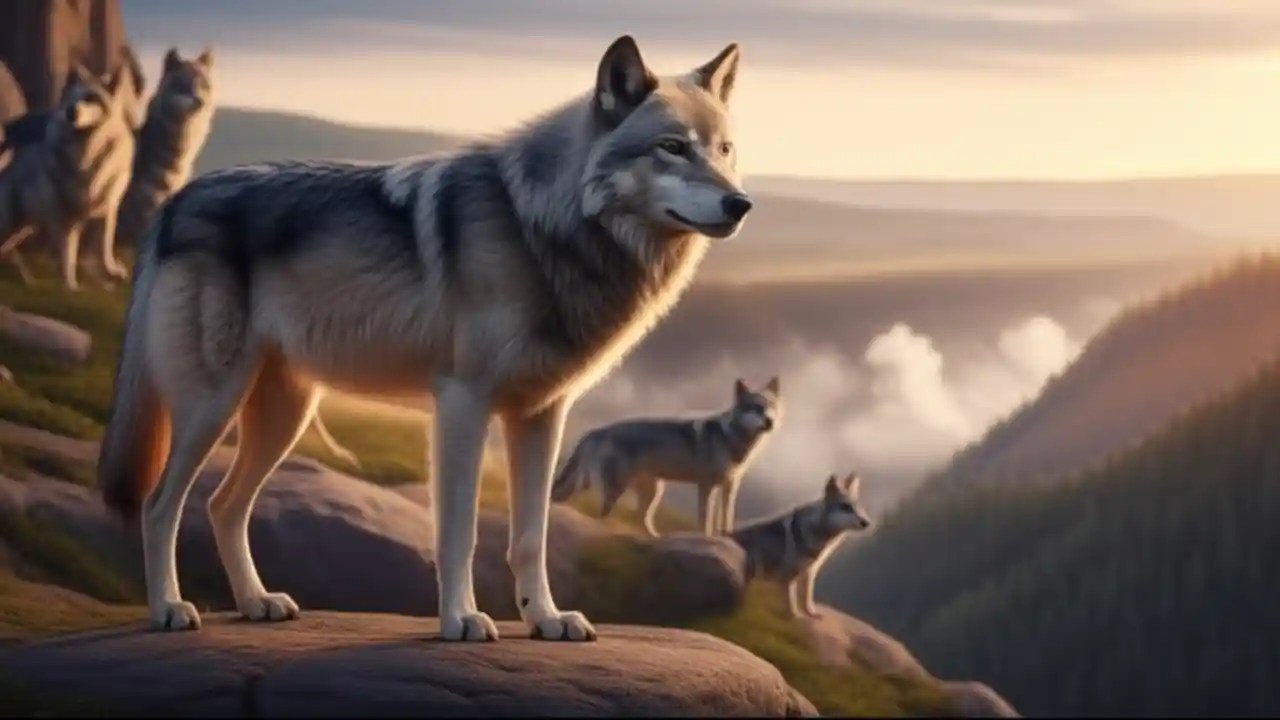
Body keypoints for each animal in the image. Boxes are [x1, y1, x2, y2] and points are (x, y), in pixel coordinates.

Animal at [0, 65, 136, 289]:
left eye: (91, 97)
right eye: (71, 99)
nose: (70, 111)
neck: (86, 155)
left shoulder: (107, 208)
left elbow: (105, 245)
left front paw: (112, 271)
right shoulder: (64, 218)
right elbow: (68, 255)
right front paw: (71, 286)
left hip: (24, 226)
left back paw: (28, 279)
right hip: (13, 222)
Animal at [552, 377, 782, 537]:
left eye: (771, 407)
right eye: (756, 408)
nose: (770, 421)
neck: (732, 439)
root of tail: (597, 430)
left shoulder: (729, 487)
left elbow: (725, 520)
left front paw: (724, 538)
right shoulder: (707, 487)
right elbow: (705, 522)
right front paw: (706, 539)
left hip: (652, 492)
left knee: (642, 520)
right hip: (610, 489)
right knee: (602, 515)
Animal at [731, 472, 872, 618]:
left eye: (860, 508)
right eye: (846, 507)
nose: (867, 522)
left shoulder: (810, 572)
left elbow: (807, 598)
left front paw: (811, 613)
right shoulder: (788, 575)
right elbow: (791, 600)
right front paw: (794, 615)